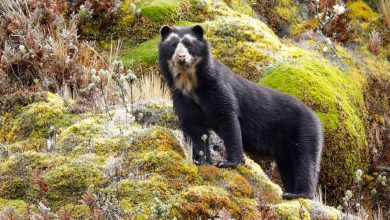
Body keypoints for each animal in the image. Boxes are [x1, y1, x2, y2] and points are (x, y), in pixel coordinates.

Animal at [158, 25, 322, 199]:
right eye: (173, 45)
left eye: (189, 44)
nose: (181, 57)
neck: (190, 82)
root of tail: (316, 117)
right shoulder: (181, 96)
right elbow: (194, 127)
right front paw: (201, 161)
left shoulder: (217, 88)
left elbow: (228, 119)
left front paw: (227, 162)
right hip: (284, 146)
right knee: (288, 166)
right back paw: (289, 191)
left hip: (304, 132)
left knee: (305, 161)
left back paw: (298, 194)